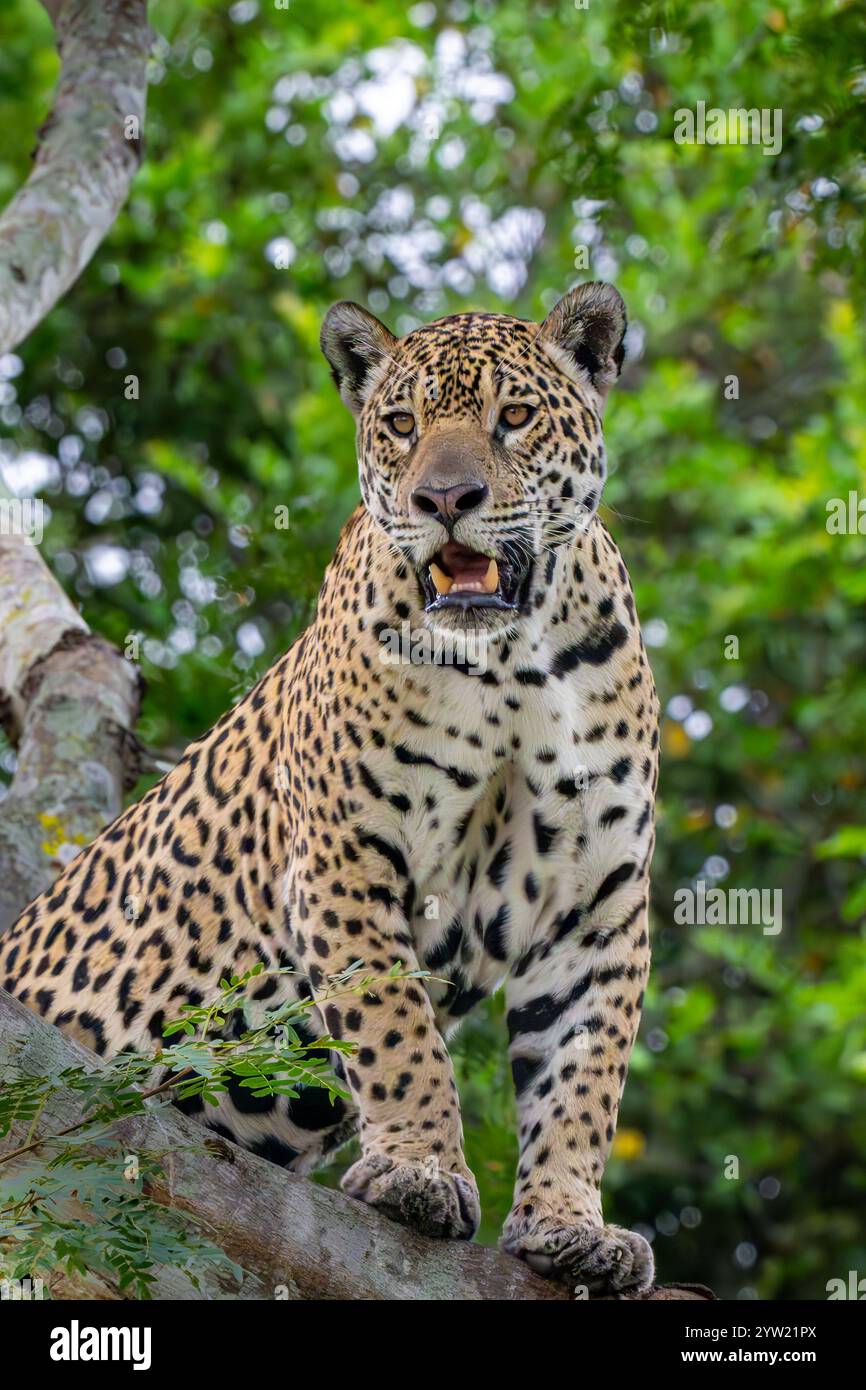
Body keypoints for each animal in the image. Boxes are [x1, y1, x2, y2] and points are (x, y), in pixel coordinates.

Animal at [0, 281, 660, 1296]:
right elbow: (395, 1032)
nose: (446, 499)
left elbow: (581, 1079)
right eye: (401, 425)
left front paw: (569, 1226)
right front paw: (419, 1173)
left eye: (513, 417)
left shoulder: (598, 902)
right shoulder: (349, 850)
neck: (513, 659)